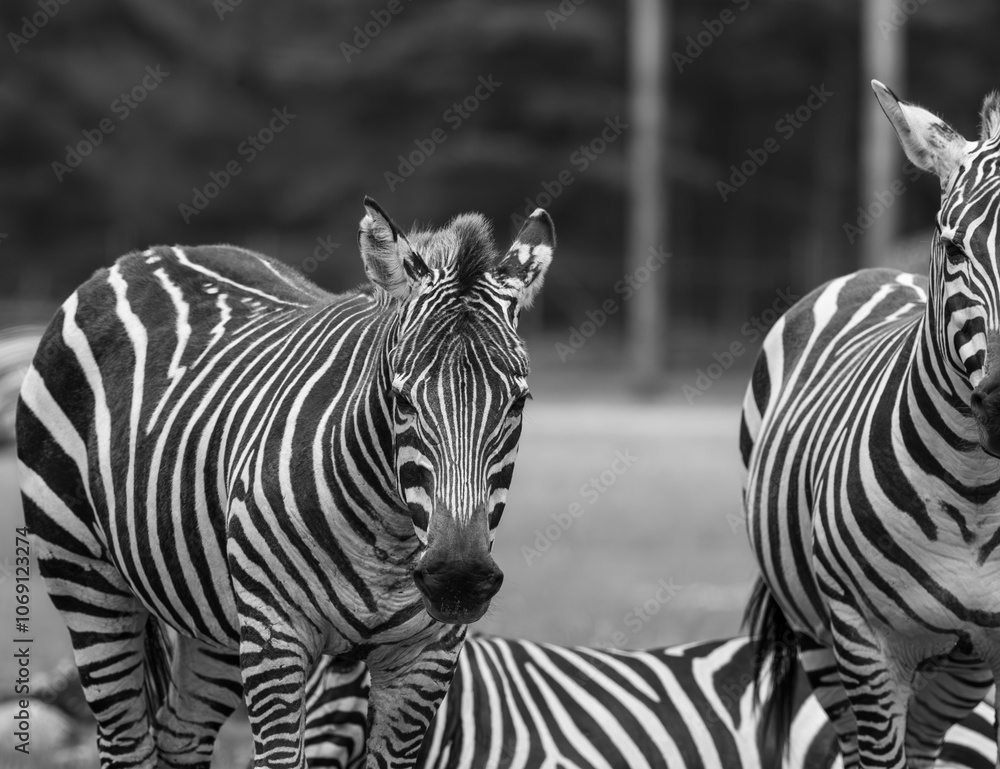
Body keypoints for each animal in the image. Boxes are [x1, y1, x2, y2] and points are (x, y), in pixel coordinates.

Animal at [17, 197, 555, 768]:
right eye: (402, 399)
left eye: (519, 403)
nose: (458, 578)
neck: (389, 538)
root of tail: (143, 255)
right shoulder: (275, 640)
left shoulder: (427, 656)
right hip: (84, 576)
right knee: (125, 739)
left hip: (212, 616)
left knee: (179, 736)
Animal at [742, 81, 1000, 768]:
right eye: (955, 248)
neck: (980, 498)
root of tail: (876, 272)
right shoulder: (865, 642)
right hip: (818, 641)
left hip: (962, 667)